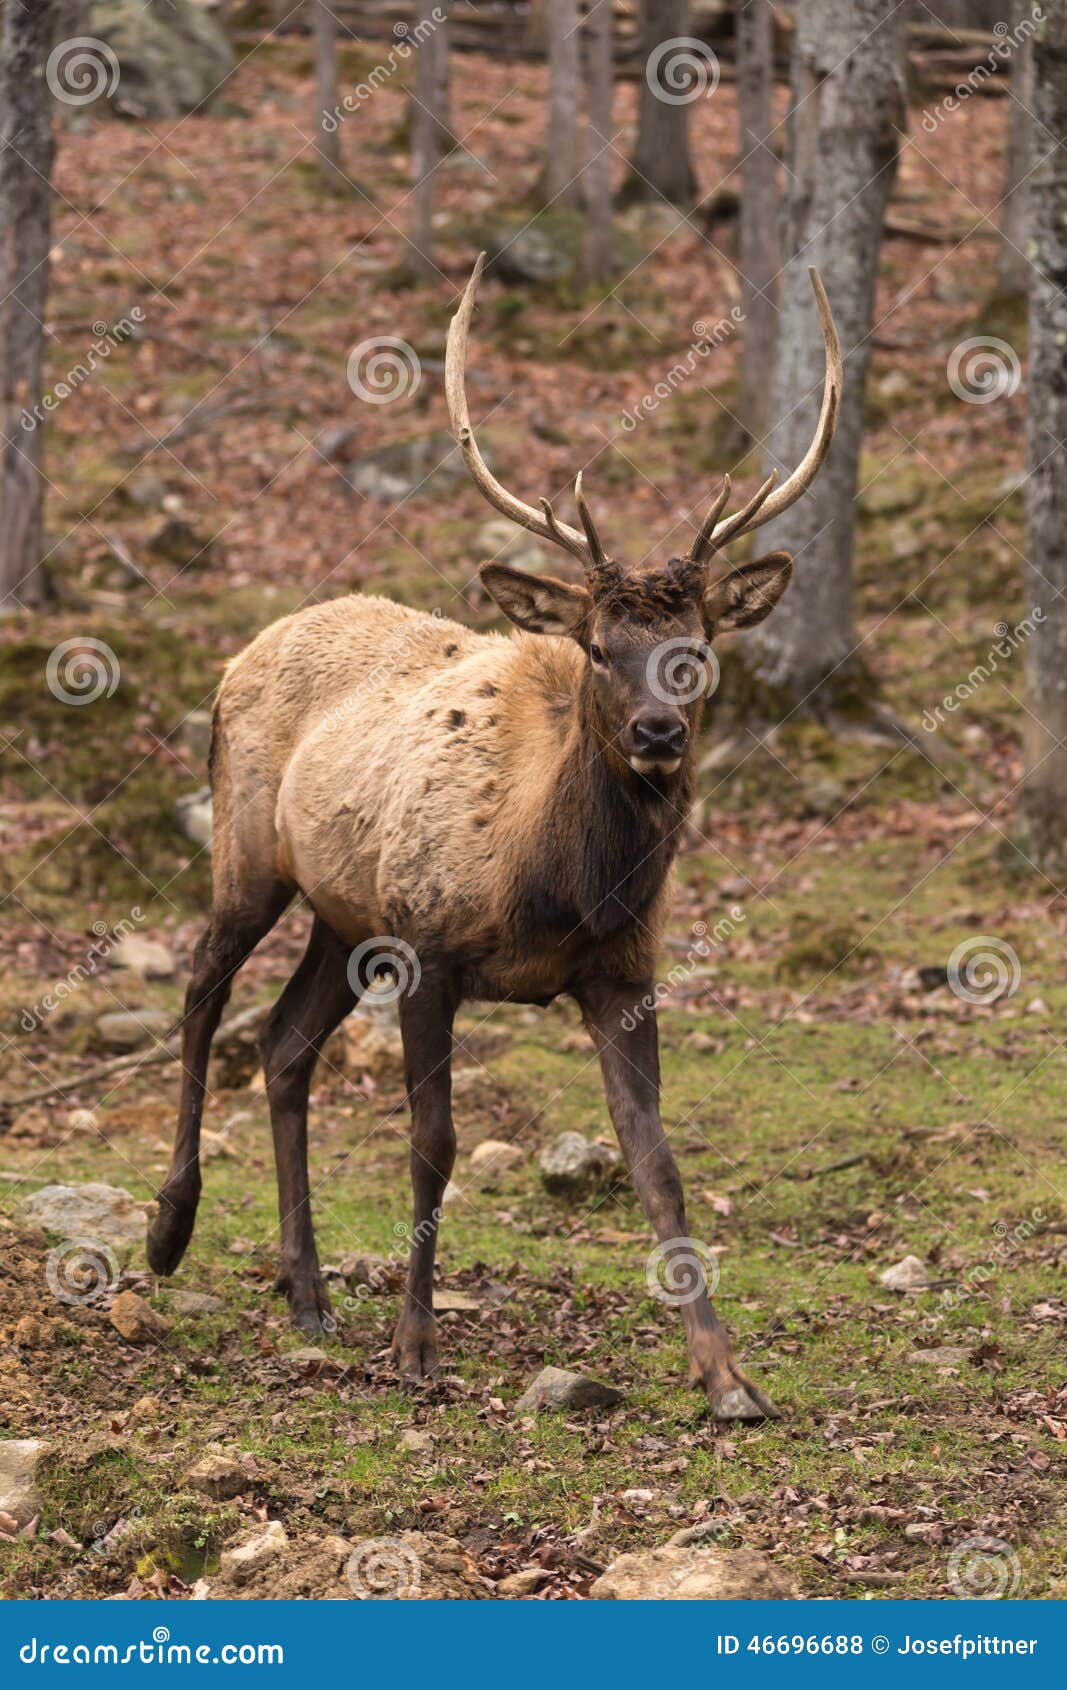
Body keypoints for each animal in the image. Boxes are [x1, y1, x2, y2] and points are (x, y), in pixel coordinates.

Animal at [147, 254, 841, 1421]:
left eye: (696, 648)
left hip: (346, 919)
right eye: (600, 647)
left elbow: (656, 1161)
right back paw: (168, 1230)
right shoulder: (430, 948)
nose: (657, 732)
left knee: (284, 1046)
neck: (557, 885)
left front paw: (726, 1376)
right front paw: (415, 1346)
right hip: (249, 853)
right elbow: (434, 1142)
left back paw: (307, 1290)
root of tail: (246, 649)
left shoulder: (621, 973)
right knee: (202, 996)